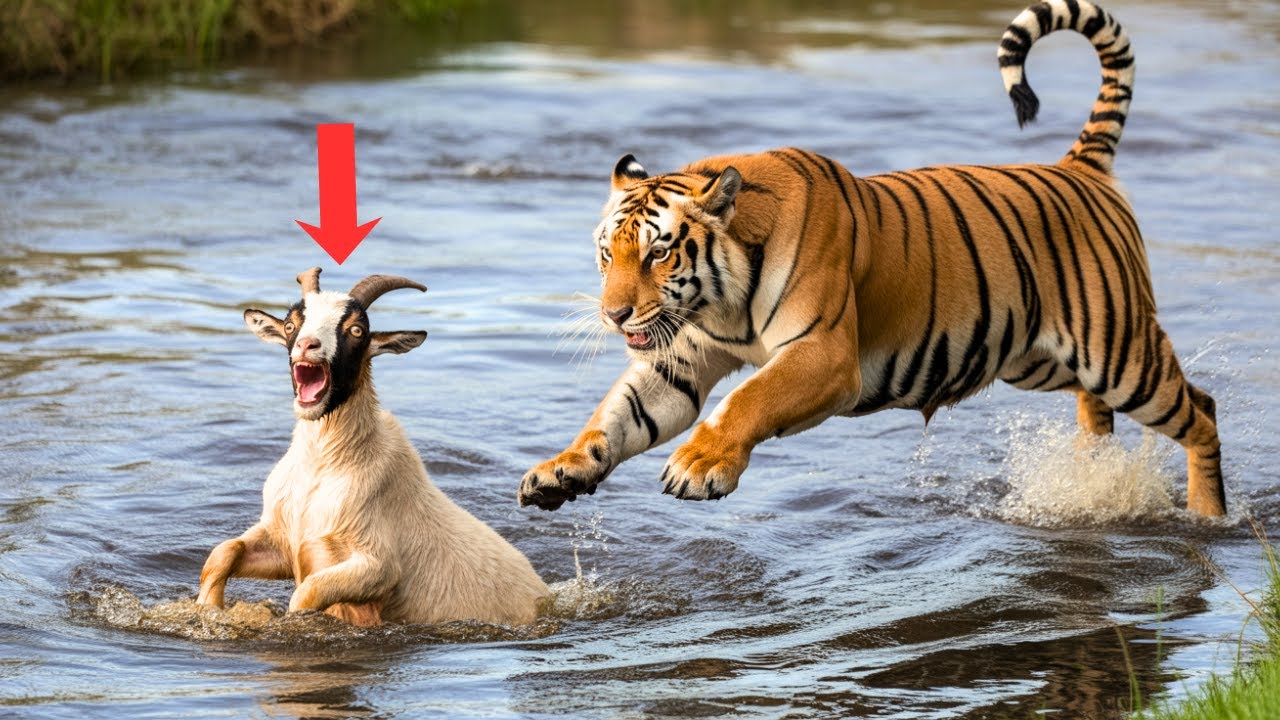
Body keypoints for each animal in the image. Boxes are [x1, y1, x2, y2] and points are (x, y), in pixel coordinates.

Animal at [197, 267, 548, 627]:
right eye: (291, 324)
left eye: (357, 329)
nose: (308, 346)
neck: (324, 465)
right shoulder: (282, 541)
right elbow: (224, 553)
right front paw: (207, 608)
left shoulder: (378, 567)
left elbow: (307, 592)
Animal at [517, 0, 1227, 517]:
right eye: (606, 256)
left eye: (660, 253)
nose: (613, 316)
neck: (718, 307)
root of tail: (1077, 166)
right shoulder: (681, 358)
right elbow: (616, 416)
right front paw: (560, 470)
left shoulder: (824, 354)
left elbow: (749, 398)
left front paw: (699, 466)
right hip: (1040, 355)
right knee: (1098, 411)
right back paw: (1092, 477)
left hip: (1119, 351)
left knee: (1201, 410)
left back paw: (1208, 516)